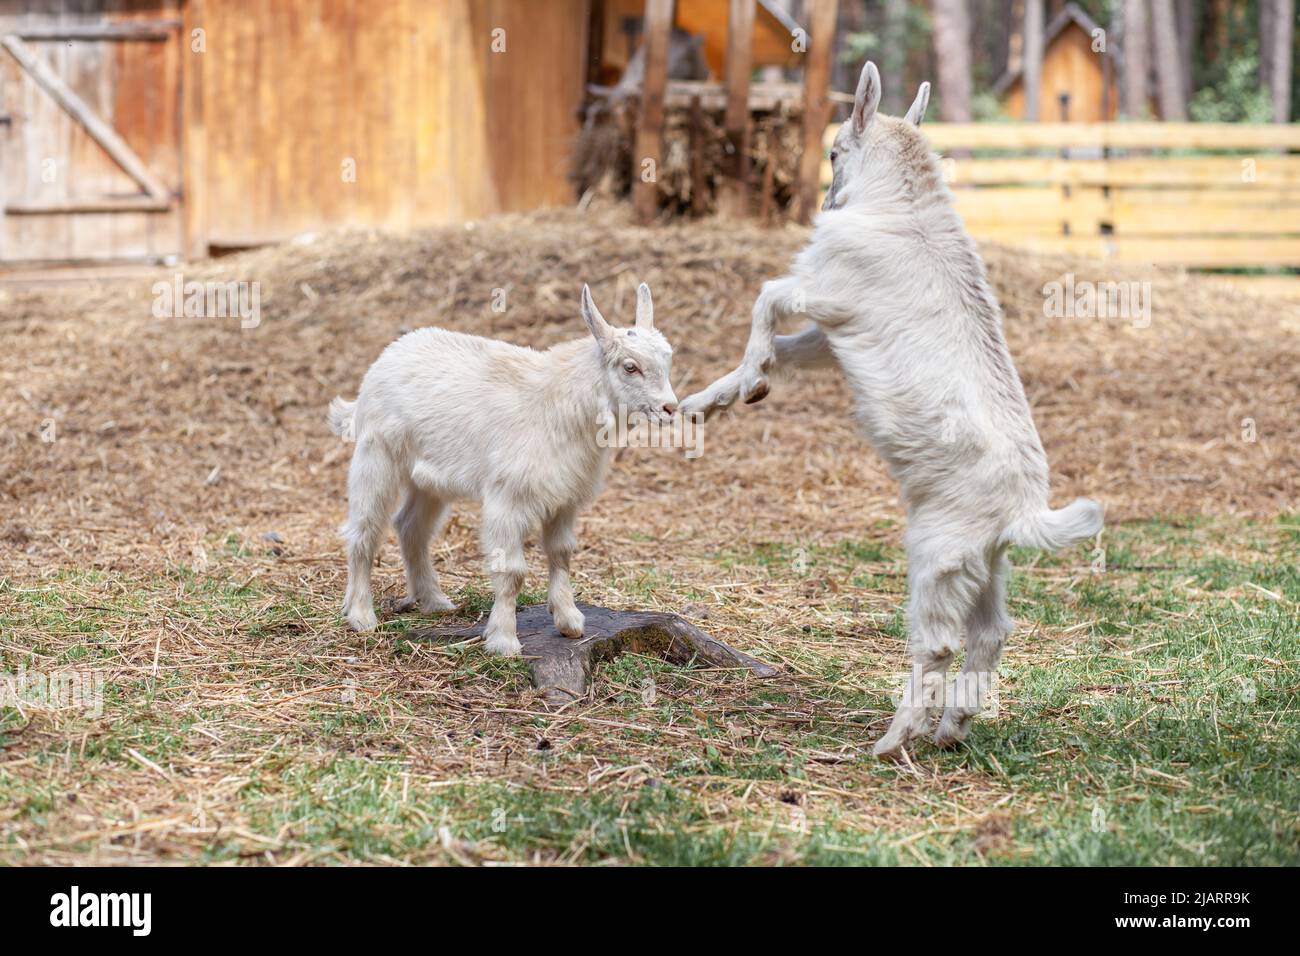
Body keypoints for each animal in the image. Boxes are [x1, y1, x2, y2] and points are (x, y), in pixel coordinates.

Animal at [328, 284, 678, 655]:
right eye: (630, 367)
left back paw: (434, 601)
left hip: (428, 480)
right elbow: (511, 571)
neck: (559, 404)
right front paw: (504, 641)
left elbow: (561, 554)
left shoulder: (566, 499)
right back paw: (361, 615)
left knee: (411, 527)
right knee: (364, 531)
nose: (670, 409)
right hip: (376, 456)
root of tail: (385, 359)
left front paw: (569, 621)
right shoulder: (508, 498)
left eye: (667, 360)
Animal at [679, 62, 1103, 757]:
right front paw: (710, 401)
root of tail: (1024, 510)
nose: (825, 204)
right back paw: (952, 726)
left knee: (937, 643)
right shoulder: (833, 332)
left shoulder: (826, 291)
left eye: (832, 152)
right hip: (983, 561)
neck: (904, 208)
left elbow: (767, 297)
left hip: (936, 551)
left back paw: (894, 739)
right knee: (992, 631)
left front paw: (751, 374)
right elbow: (786, 349)